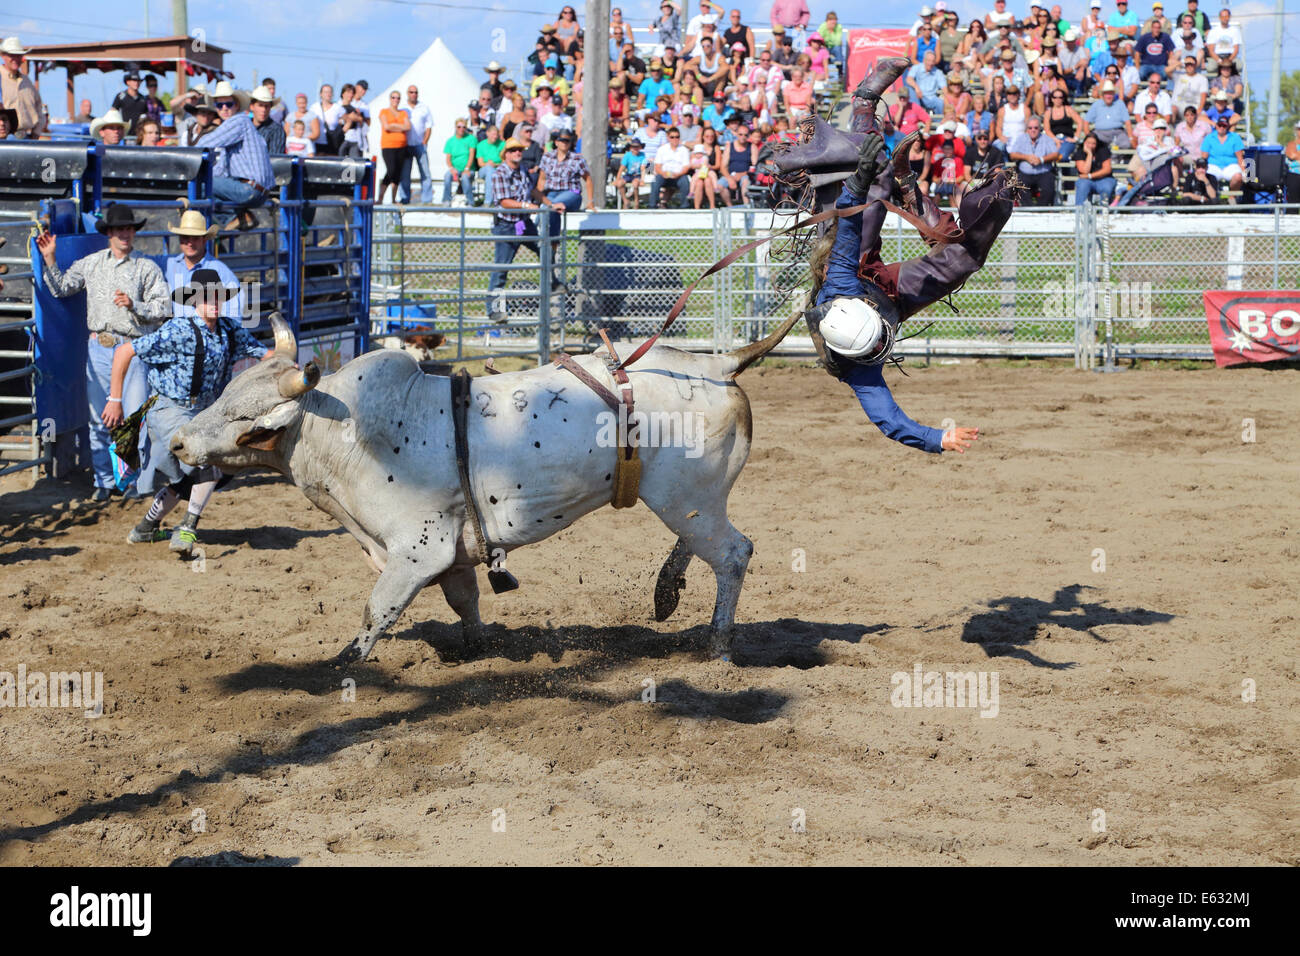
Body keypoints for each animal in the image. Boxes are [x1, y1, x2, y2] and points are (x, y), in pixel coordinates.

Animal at [172, 312, 799, 663]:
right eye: (224, 395)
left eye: (247, 420)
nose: (178, 443)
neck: (348, 432)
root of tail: (718, 364)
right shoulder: (452, 550)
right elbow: (464, 601)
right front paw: (478, 649)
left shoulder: (416, 550)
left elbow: (378, 609)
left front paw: (340, 666)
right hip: (687, 499)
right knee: (701, 545)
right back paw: (666, 592)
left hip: (685, 498)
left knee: (732, 553)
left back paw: (717, 646)